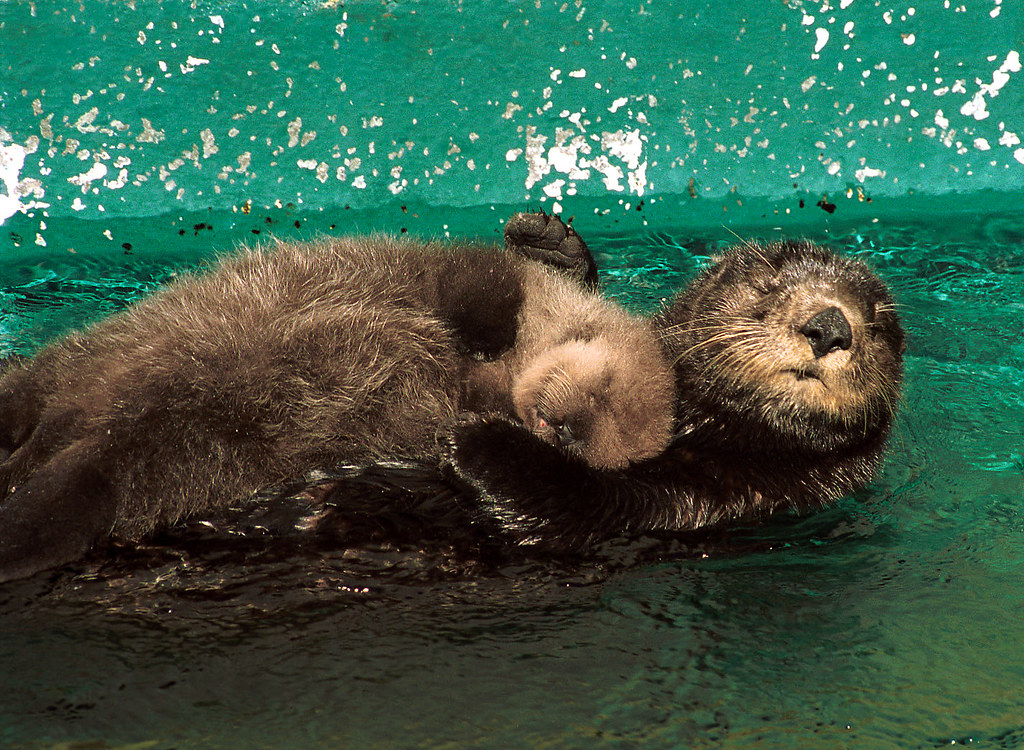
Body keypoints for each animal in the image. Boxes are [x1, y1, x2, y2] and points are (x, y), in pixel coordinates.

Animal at [0, 231, 674, 581]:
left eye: (587, 443)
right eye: (597, 395)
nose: (561, 427)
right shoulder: (489, 282)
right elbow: (479, 282)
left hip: (174, 437)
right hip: (84, 359)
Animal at [445, 231, 906, 549]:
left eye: (876, 326)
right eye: (769, 287)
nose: (830, 327)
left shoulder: (712, 501)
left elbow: (586, 500)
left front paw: (483, 442)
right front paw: (553, 250)